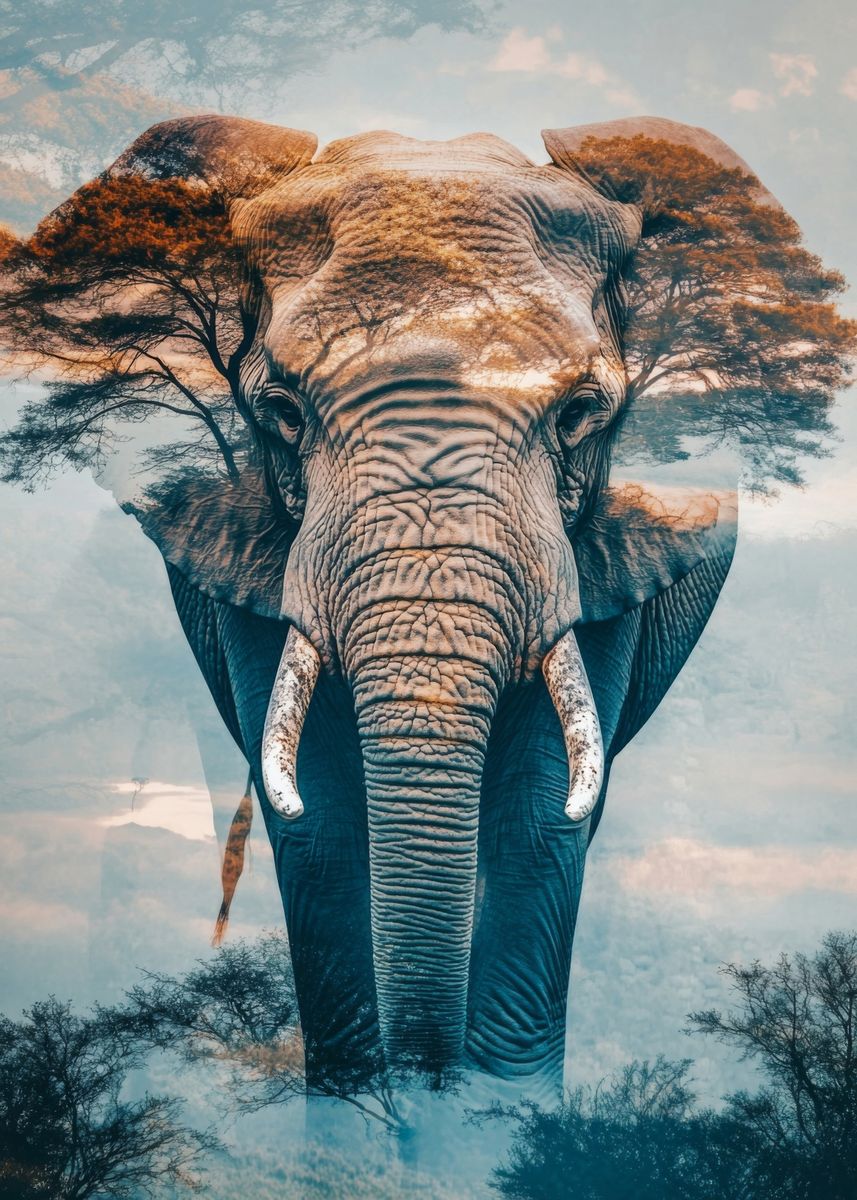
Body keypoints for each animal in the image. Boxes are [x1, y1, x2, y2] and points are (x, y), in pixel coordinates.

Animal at [44, 114, 760, 1104]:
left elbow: (541, 818)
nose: (425, 1081)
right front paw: (359, 1105)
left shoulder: (607, 552)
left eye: (581, 413)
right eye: (281, 412)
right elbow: (318, 818)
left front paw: (501, 1119)